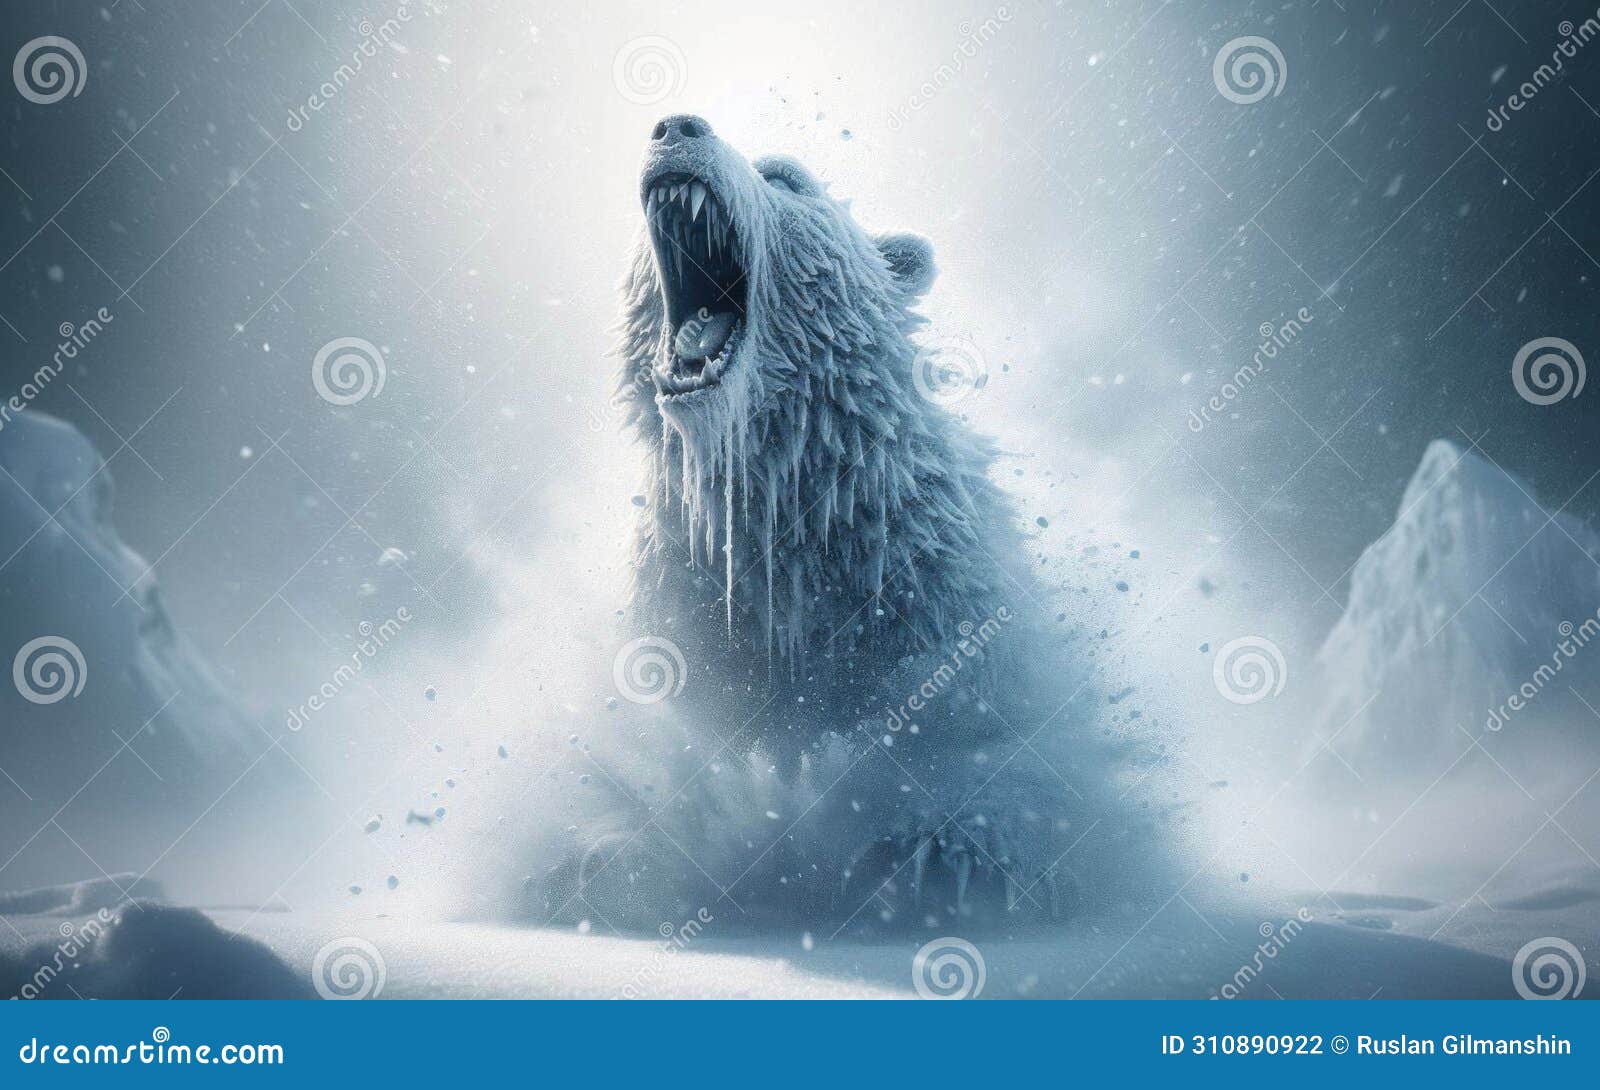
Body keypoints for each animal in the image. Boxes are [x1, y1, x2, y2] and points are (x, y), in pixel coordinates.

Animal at [528, 115, 1161, 932]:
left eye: (784, 176)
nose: (676, 126)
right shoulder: (689, 600)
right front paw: (602, 856)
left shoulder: (929, 594)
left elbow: (996, 742)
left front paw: (939, 855)